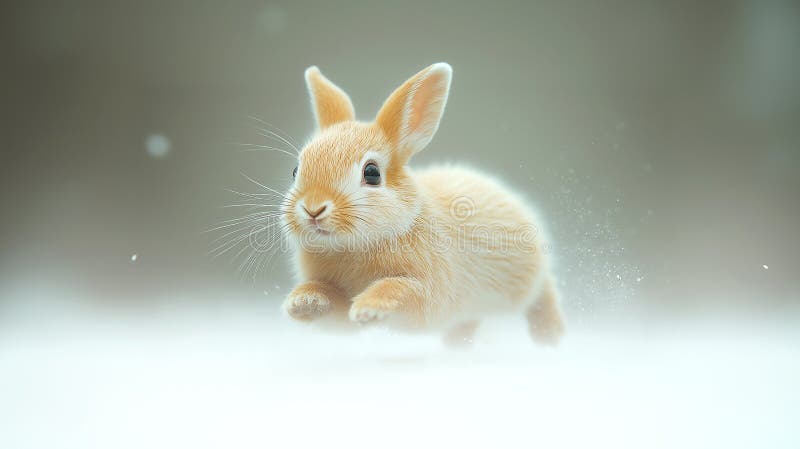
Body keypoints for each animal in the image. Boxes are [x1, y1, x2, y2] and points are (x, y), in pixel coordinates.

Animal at [280, 63, 565, 345]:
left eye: (372, 173)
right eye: (295, 171)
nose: (313, 208)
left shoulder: (429, 291)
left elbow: (400, 288)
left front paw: (368, 308)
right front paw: (303, 302)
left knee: (544, 289)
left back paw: (549, 336)